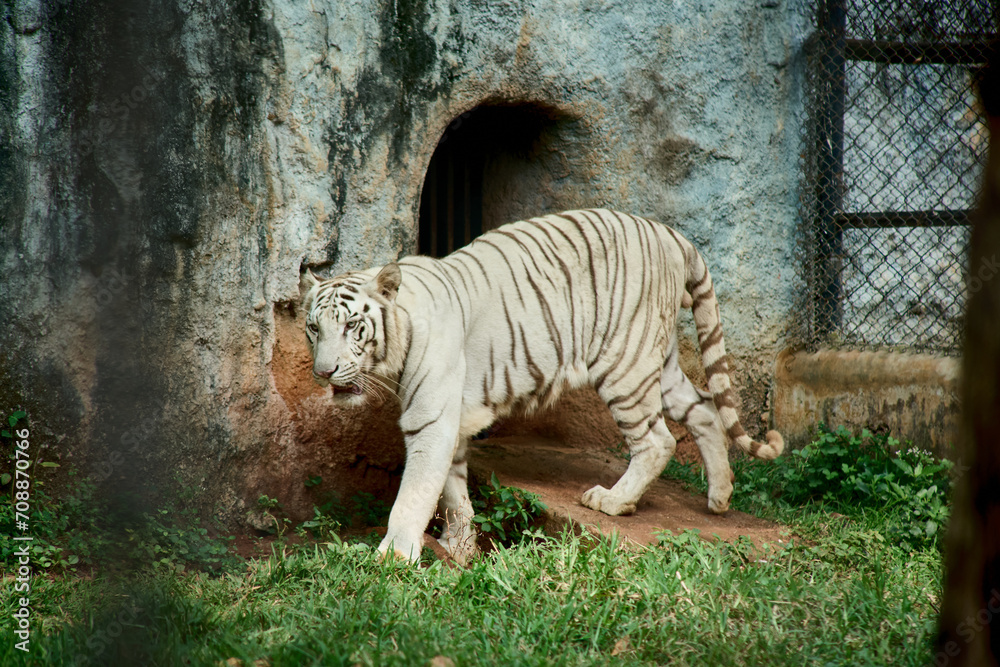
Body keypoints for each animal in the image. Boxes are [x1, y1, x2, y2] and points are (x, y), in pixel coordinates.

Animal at [300, 209, 784, 563]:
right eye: (313, 328)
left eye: (352, 326)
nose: (323, 372)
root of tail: (670, 234)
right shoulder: (452, 424)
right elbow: (453, 494)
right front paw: (460, 546)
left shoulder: (431, 420)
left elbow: (416, 493)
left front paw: (394, 557)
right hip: (656, 360)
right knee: (703, 409)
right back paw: (719, 496)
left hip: (624, 364)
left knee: (657, 440)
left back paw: (614, 500)